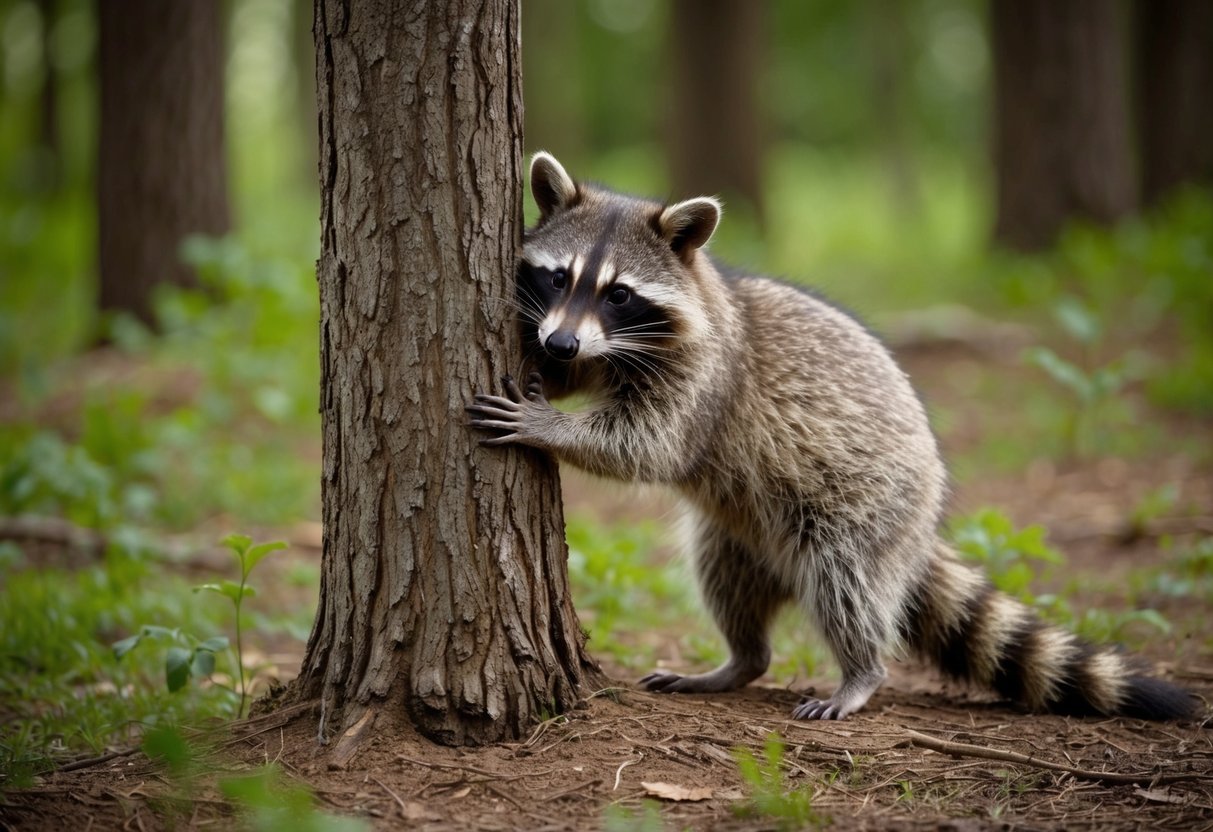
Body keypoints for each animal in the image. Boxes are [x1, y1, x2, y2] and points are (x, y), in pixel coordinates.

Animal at [466, 152, 1197, 721]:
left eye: (617, 293)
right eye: (559, 277)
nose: (559, 342)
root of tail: (922, 523)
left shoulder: (708, 374)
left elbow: (651, 445)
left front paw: (550, 425)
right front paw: (551, 373)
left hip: (868, 508)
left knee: (845, 581)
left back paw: (860, 671)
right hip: (741, 536)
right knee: (725, 580)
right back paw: (741, 659)